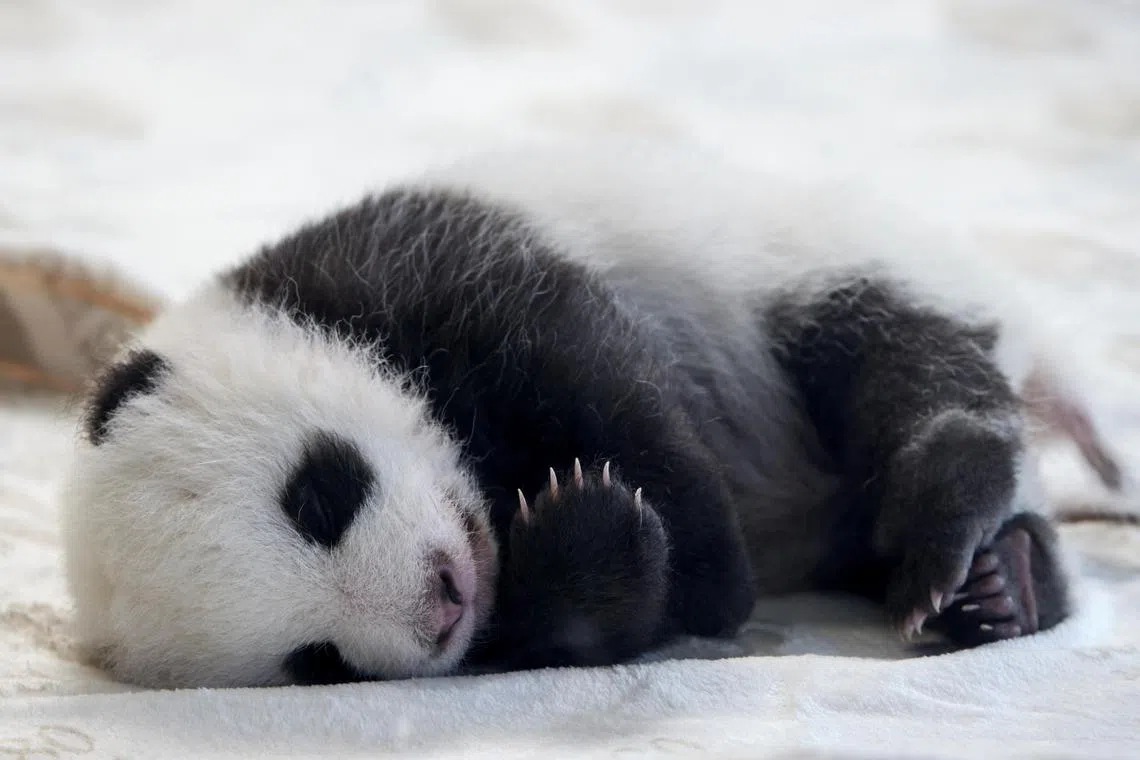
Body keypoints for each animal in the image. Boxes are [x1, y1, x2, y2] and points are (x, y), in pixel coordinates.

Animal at [59, 141, 1125, 689]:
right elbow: (579, 623)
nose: (440, 601)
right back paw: (1005, 585)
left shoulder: (420, 255)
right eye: (317, 662)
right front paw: (598, 536)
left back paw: (954, 530)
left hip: (824, 266)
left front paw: (715, 569)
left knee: (901, 364)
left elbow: (588, 359)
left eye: (320, 496)